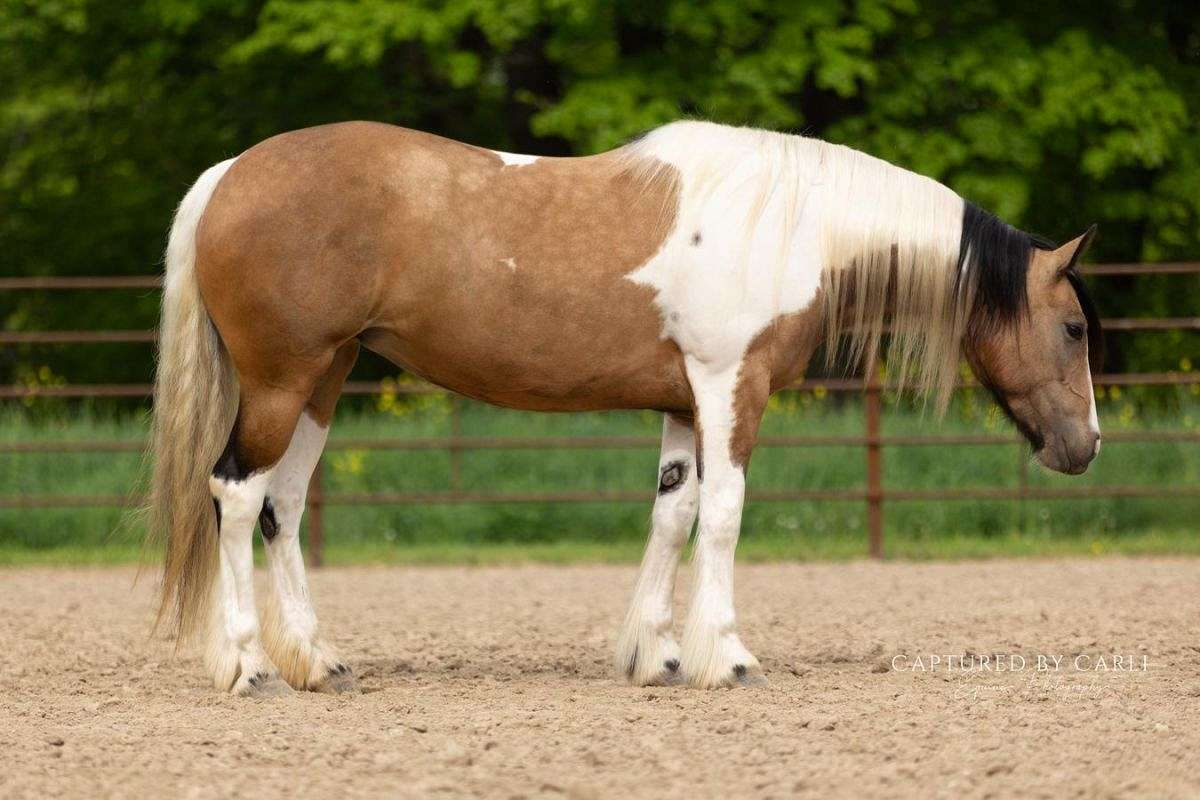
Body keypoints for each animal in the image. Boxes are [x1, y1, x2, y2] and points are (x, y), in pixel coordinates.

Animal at [147, 120, 1102, 695]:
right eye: (1074, 328)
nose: (1085, 447)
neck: (785, 226)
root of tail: (231, 174)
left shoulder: (685, 401)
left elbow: (673, 515)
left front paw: (660, 654)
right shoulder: (731, 386)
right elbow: (724, 516)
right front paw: (729, 657)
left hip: (325, 380)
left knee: (284, 504)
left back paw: (318, 660)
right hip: (283, 380)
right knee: (236, 494)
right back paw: (248, 665)